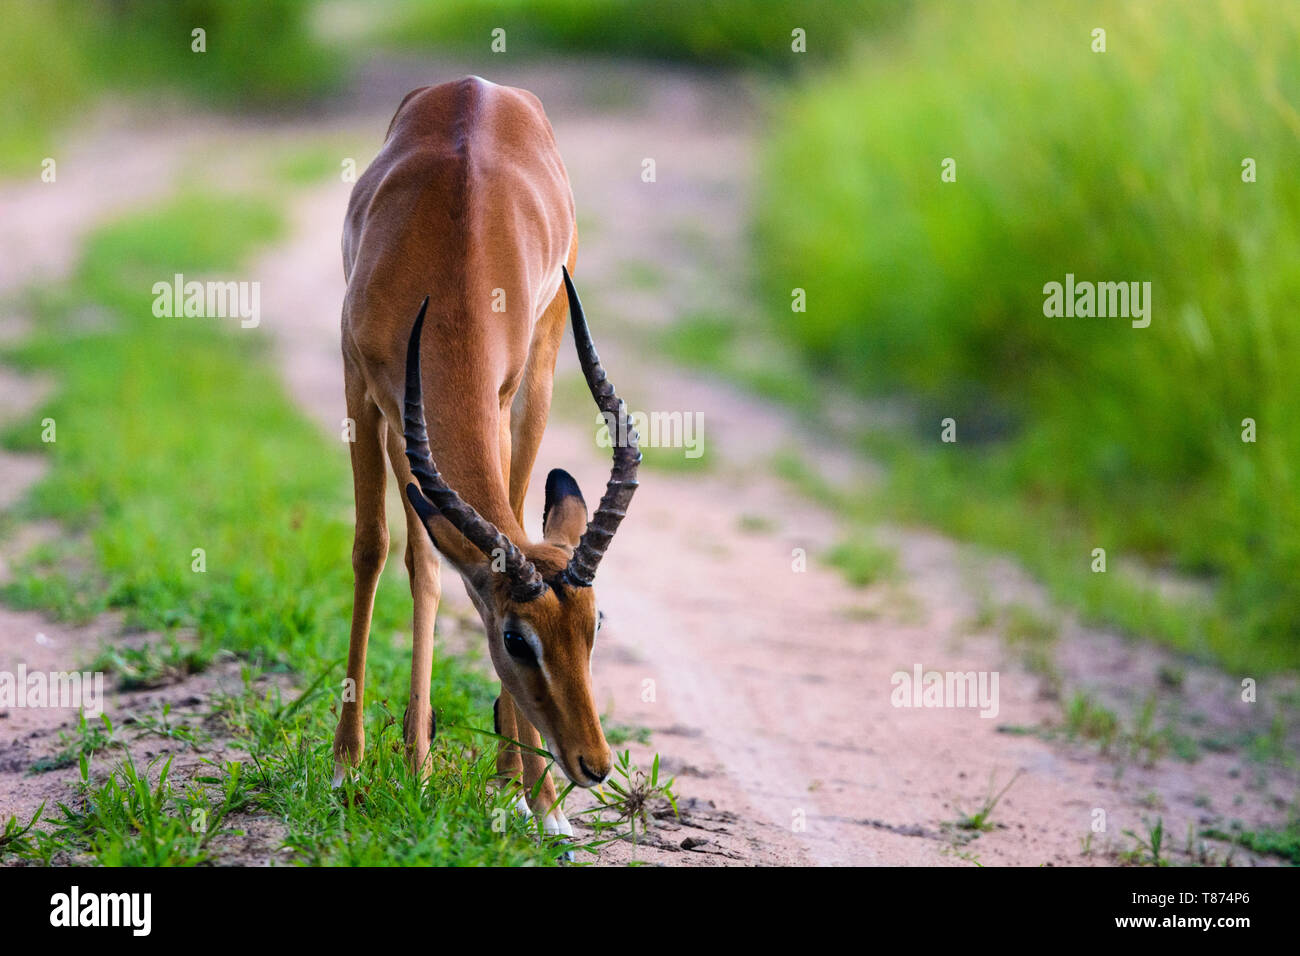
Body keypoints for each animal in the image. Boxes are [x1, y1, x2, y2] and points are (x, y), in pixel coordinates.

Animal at [332, 76, 640, 839]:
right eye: (517, 639)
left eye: (594, 625)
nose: (594, 765)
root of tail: (481, 84)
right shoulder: (360, 382)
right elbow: (372, 547)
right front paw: (347, 767)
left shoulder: (499, 395)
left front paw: (536, 801)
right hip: (402, 419)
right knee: (421, 558)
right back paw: (418, 758)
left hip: (539, 370)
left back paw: (510, 784)